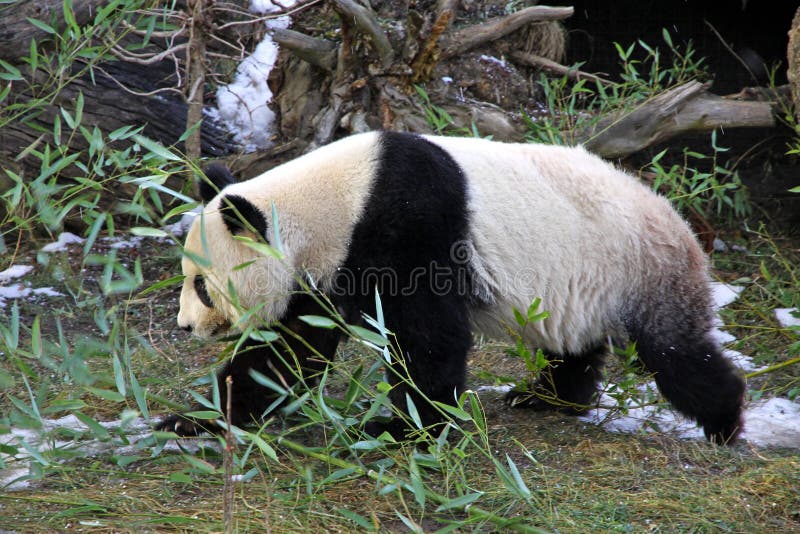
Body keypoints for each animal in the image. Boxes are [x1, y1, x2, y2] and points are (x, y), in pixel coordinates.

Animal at [159, 131, 745, 444]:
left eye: (202, 286)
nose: (186, 326)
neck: (334, 202)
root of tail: (679, 221)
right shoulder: (322, 273)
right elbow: (288, 353)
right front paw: (193, 419)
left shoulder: (409, 227)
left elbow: (428, 339)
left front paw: (405, 430)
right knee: (573, 345)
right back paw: (546, 398)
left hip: (643, 270)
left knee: (676, 355)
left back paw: (725, 420)